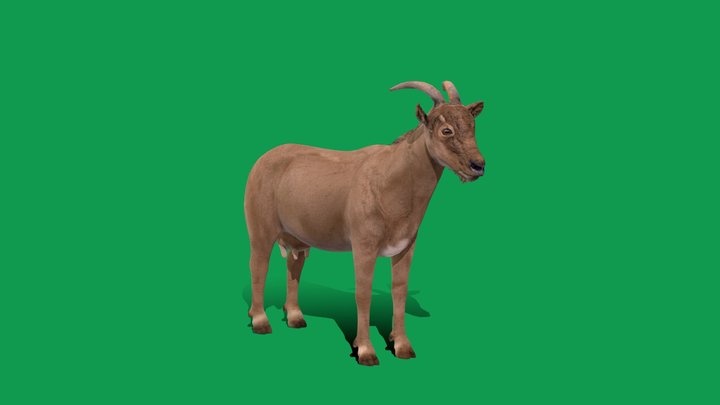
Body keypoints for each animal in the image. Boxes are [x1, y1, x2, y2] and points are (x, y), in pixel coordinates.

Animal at [244, 81, 486, 366]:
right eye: (446, 130)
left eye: (472, 125)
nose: (478, 165)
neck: (391, 181)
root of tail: (261, 160)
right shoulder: (364, 245)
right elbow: (363, 293)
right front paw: (366, 352)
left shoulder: (406, 246)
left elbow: (399, 291)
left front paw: (402, 346)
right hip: (260, 228)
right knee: (258, 265)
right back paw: (260, 321)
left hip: (298, 236)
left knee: (295, 265)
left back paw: (295, 317)